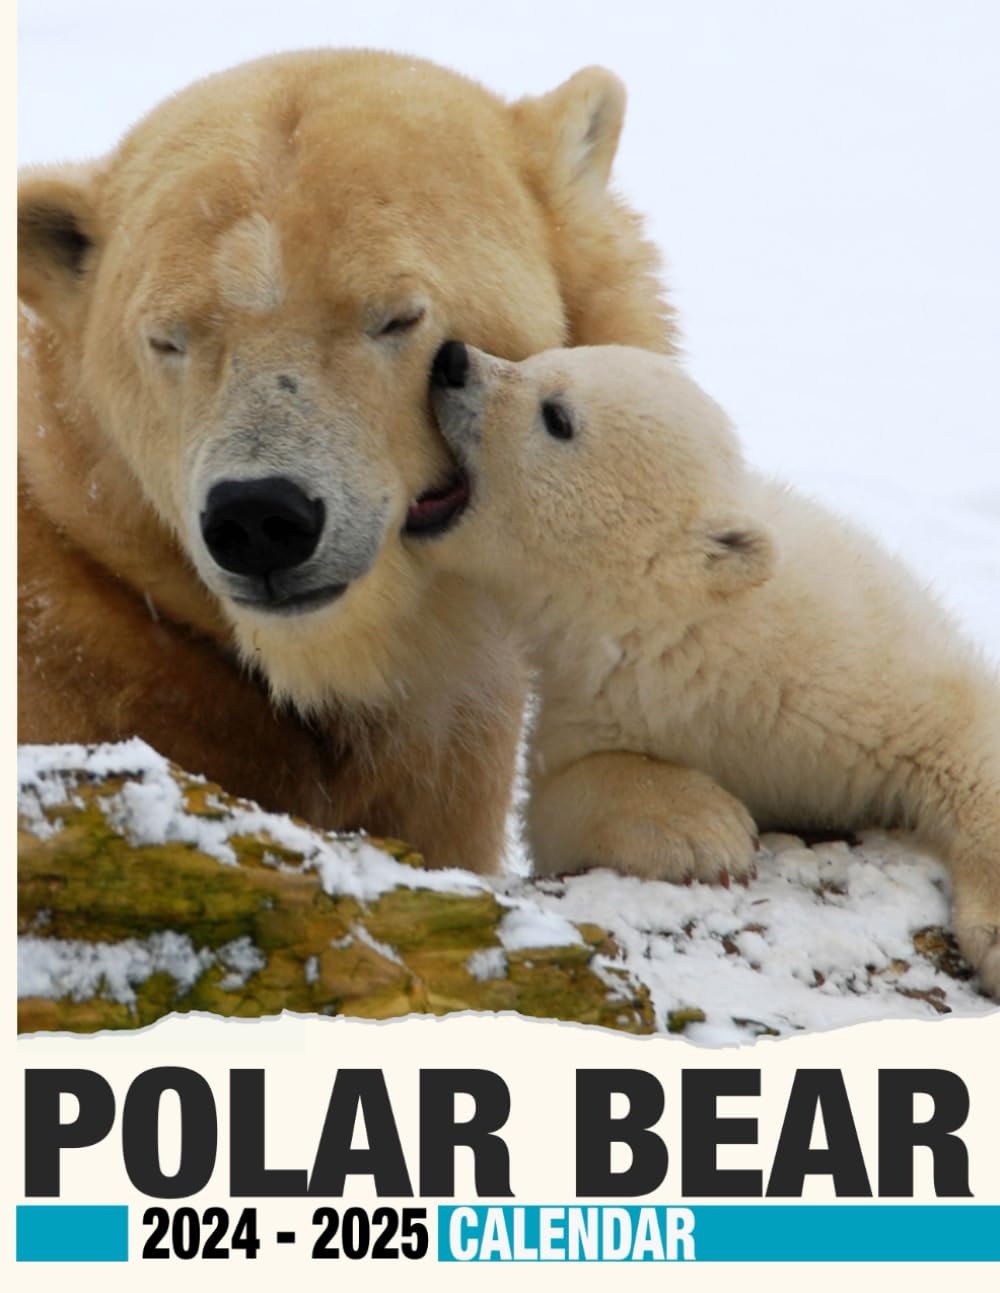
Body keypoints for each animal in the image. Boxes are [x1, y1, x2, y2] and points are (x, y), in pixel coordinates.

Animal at [412, 340, 1000, 995]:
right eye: (538, 359)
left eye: (556, 415)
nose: (451, 359)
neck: (702, 632)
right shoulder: (606, 693)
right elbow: (567, 792)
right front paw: (704, 833)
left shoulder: (850, 654)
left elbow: (960, 737)